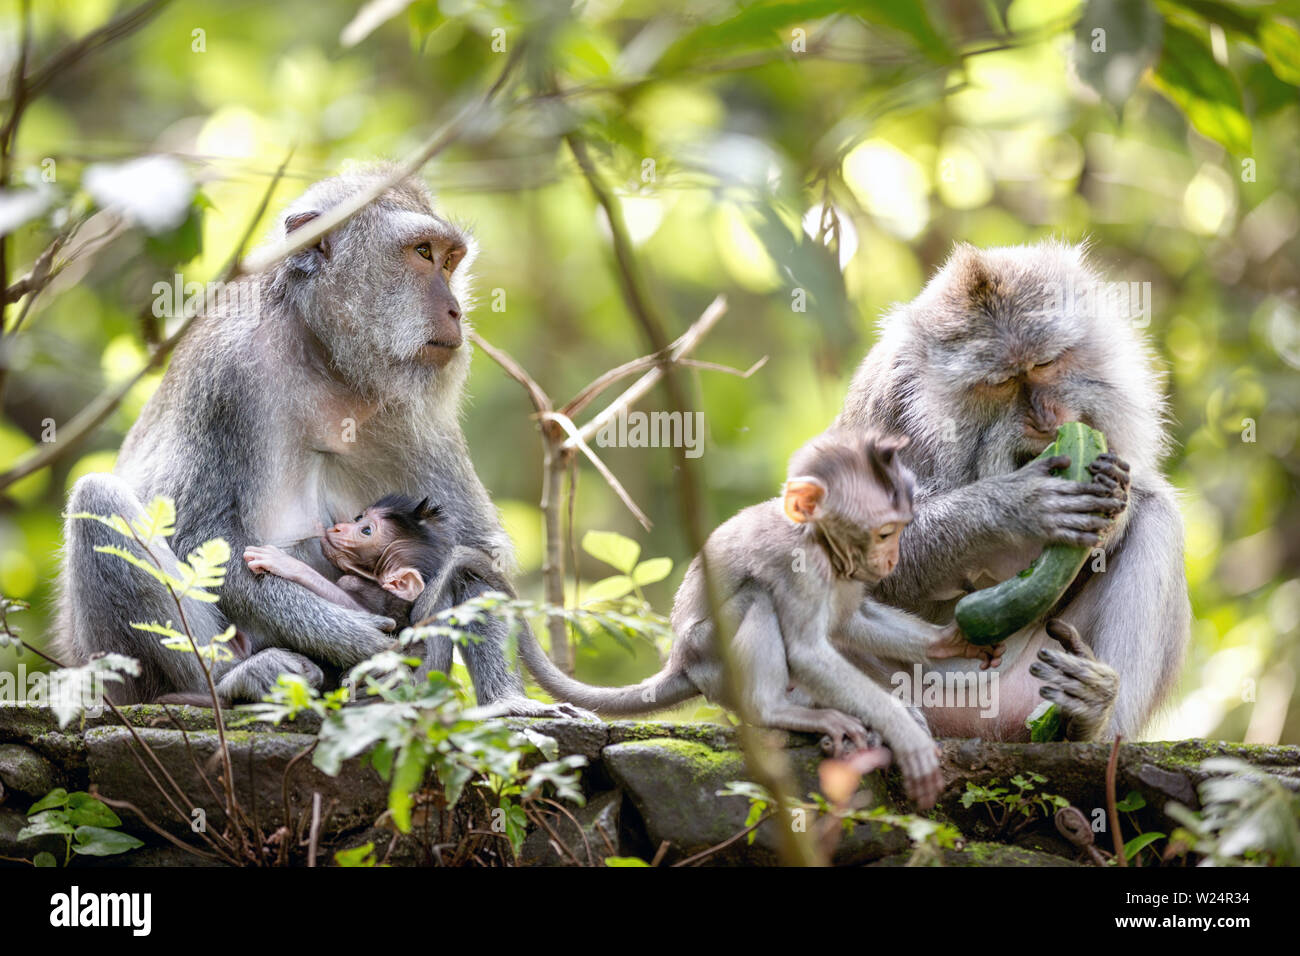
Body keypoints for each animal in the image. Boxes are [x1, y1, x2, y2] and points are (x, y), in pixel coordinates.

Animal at [56, 164, 582, 717]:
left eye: (450, 259)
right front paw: (359, 638)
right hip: (108, 660)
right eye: (422, 252)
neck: (325, 361)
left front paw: (507, 700)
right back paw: (231, 681)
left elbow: (471, 551)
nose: (456, 310)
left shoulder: (415, 411)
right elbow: (206, 541)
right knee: (98, 498)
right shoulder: (224, 376)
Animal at [511, 430, 1002, 809]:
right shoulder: (798, 563)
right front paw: (903, 732)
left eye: (900, 528)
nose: (893, 557)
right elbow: (807, 650)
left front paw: (949, 644)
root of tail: (678, 663)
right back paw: (777, 710)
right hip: (710, 655)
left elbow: (850, 620)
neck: (819, 542)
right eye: (885, 532)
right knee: (759, 600)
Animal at [837, 240, 1190, 742]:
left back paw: (1091, 721)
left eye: (1044, 362)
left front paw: (1115, 501)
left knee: (1157, 516)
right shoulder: (888, 409)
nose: (1045, 419)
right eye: (1001, 382)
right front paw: (1017, 506)